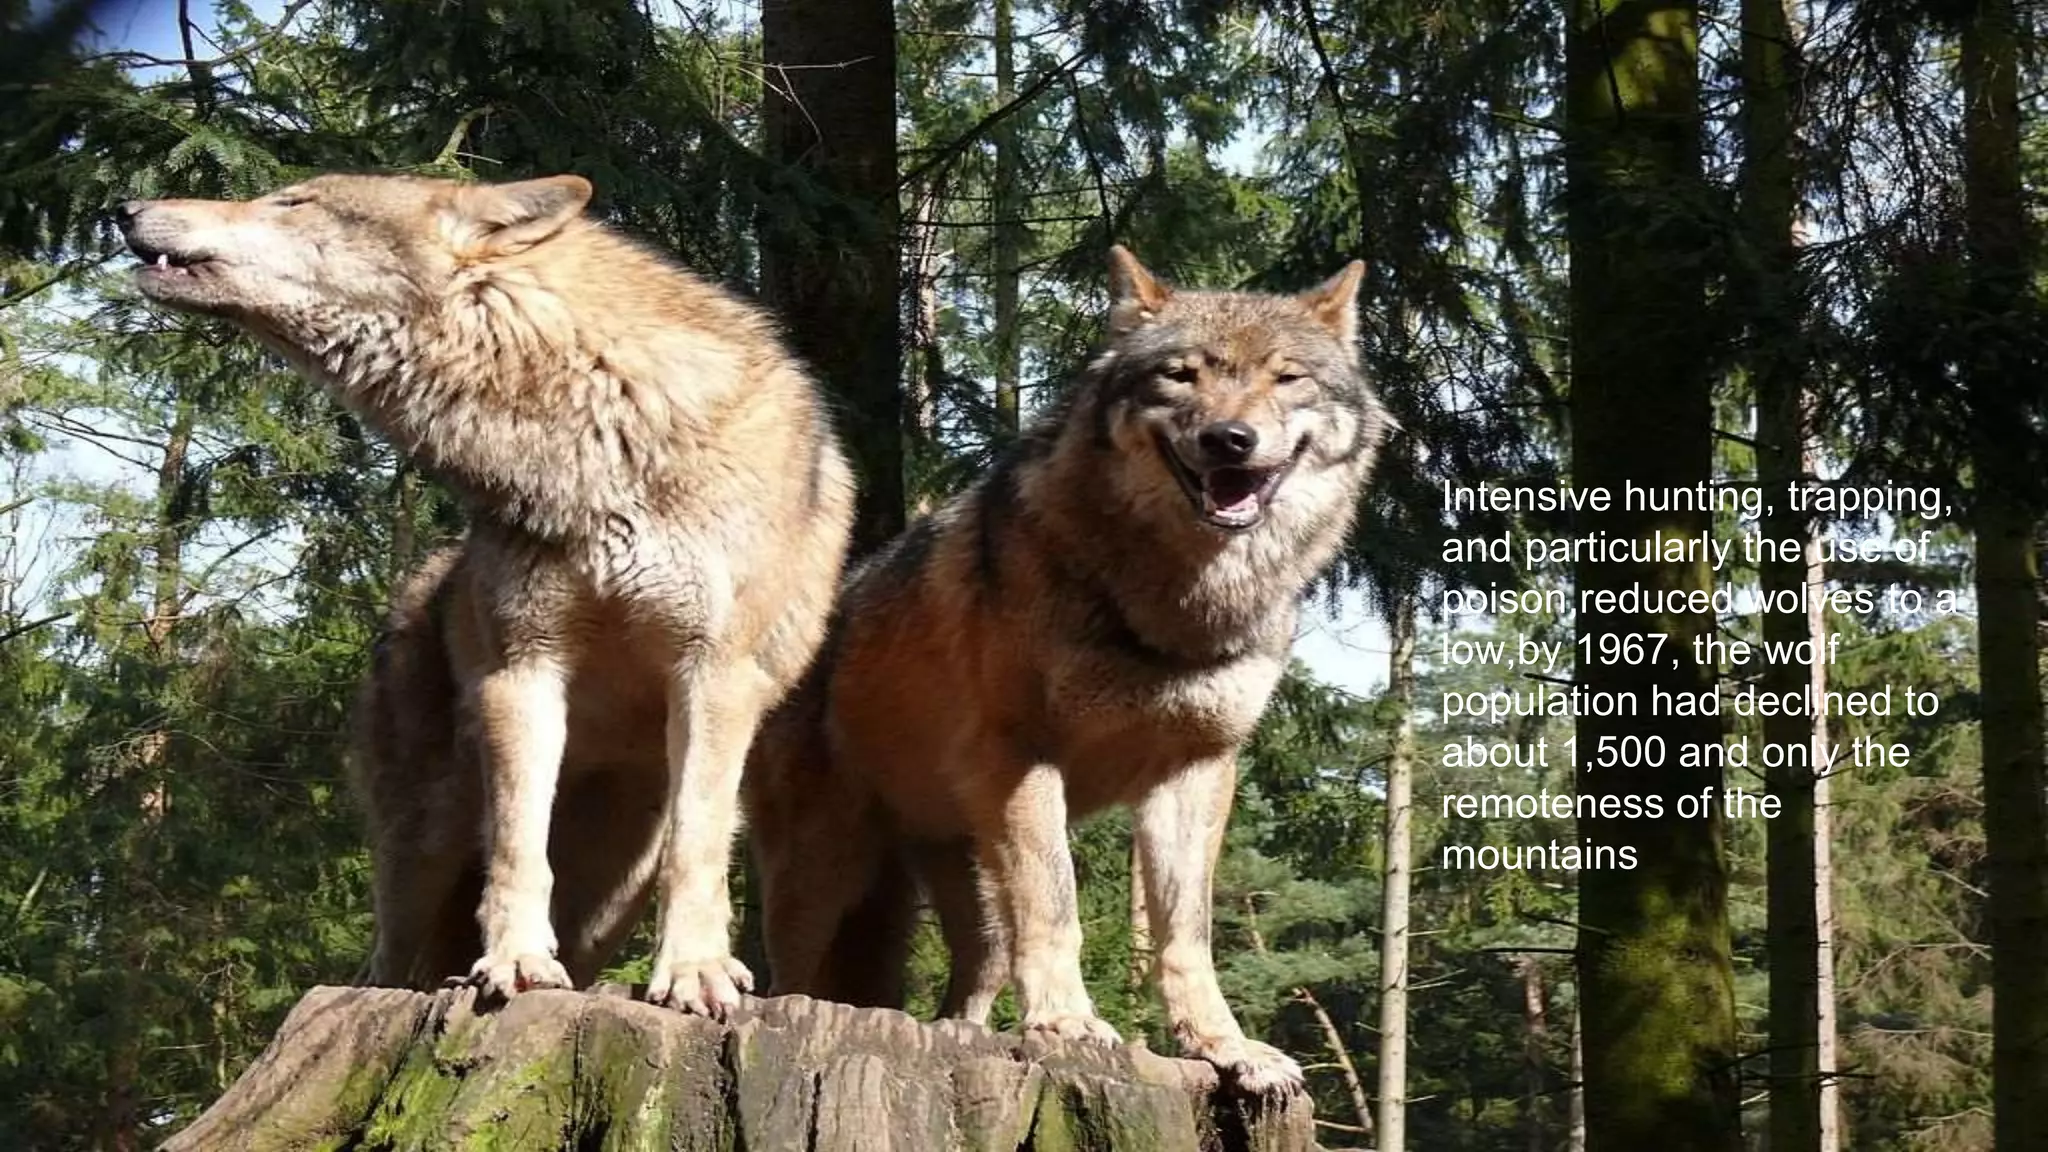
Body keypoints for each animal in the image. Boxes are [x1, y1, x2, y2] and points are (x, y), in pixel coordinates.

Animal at [117, 173, 855, 1016]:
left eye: (293, 203)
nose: (127, 208)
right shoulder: (523, 671)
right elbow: (517, 846)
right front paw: (515, 961)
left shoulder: (714, 673)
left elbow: (697, 846)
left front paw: (696, 972)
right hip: (423, 844)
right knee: (390, 958)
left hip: (612, 894)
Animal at [745, 246, 1386, 1091]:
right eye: (1180, 376)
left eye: (1286, 378)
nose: (1231, 439)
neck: (1173, 604)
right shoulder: (1025, 757)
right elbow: (1058, 906)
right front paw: (1069, 1023)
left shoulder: (1197, 770)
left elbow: (1185, 935)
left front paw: (1225, 1046)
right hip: (823, 871)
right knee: (789, 971)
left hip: (962, 880)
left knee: (974, 975)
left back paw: (961, 1035)